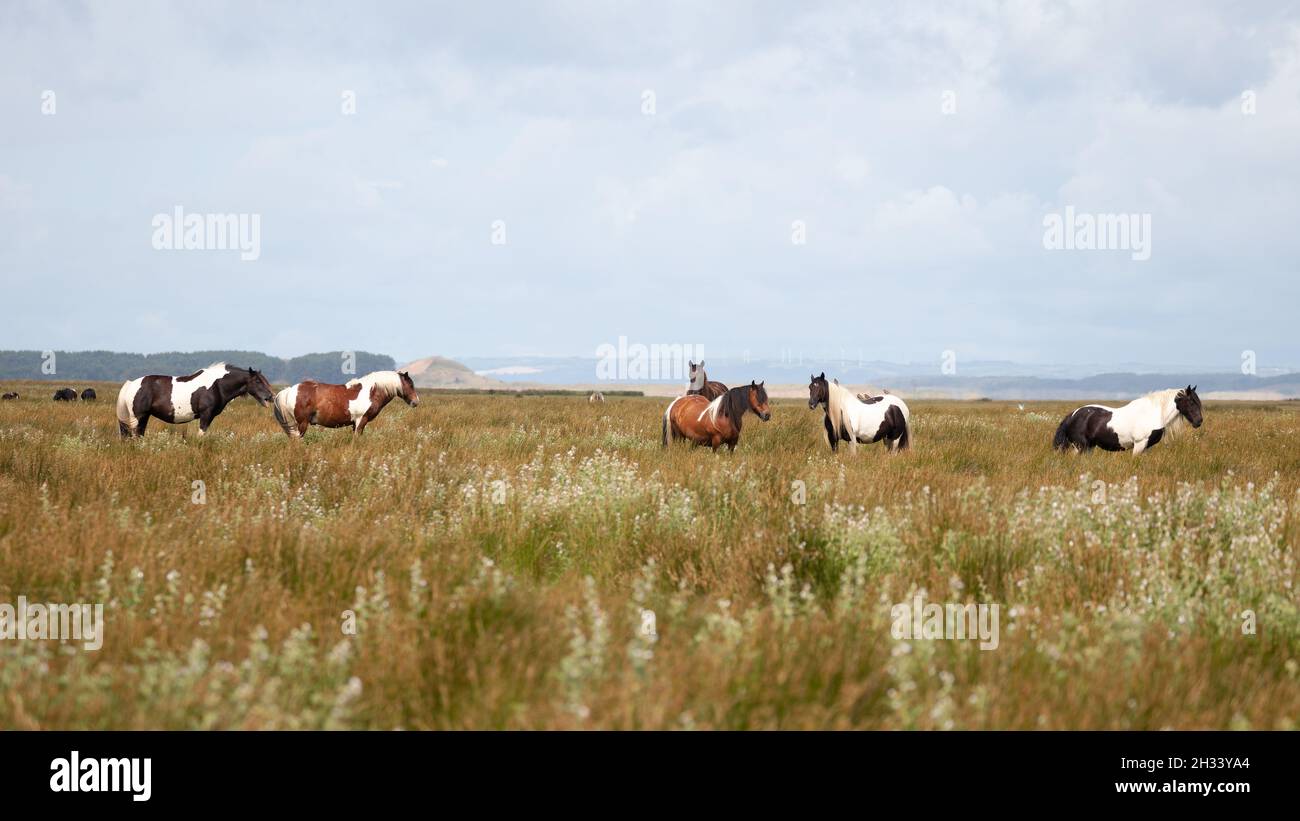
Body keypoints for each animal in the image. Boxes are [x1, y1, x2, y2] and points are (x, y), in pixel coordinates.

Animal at [116, 363, 275, 438]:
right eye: (258, 381)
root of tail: (132, 384)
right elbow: (201, 434)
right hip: (138, 417)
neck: (217, 385)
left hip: (144, 417)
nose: (271, 396)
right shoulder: (206, 414)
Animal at [273, 370, 419, 438]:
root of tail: (291, 389)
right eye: (411, 385)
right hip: (302, 423)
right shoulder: (361, 420)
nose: (416, 401)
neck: (371, 391)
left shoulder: (355, 423)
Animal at [1053, 385, 1202, 454]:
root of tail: (1072, 415)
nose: (1199, 421)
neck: (1152, 413)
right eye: (1191, 402)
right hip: (1080, 447)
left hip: (1089, 447)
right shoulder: (1139, 444)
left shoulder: (1147, 447)